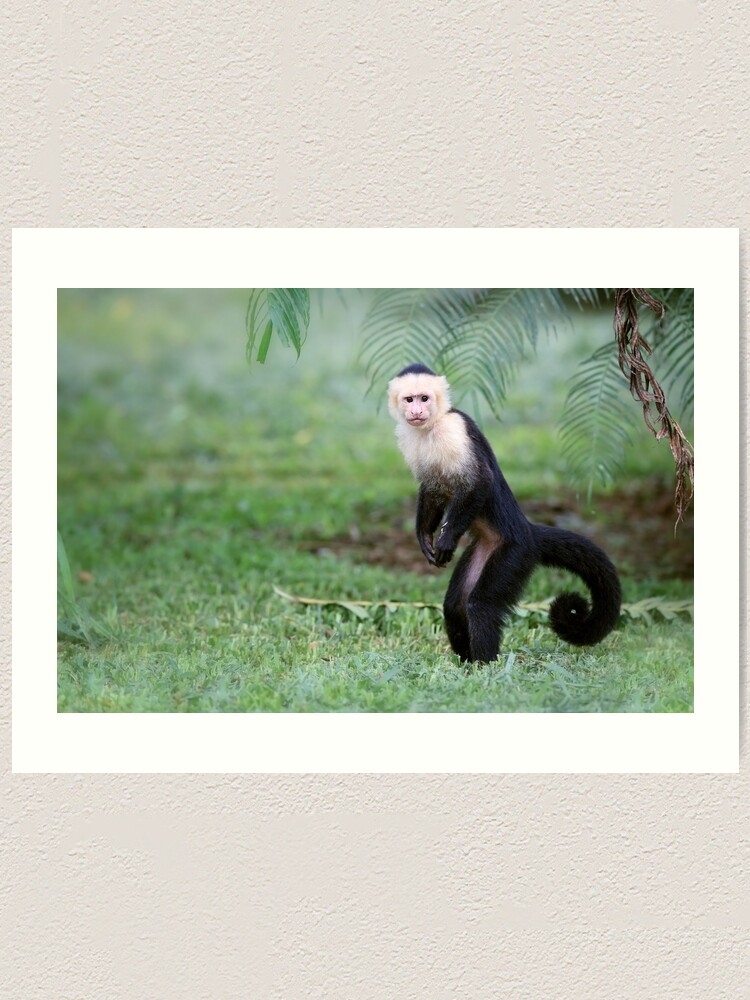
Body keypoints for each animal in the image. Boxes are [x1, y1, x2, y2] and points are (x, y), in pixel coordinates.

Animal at [387, 363, 622, 664]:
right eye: (409, 399)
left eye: (424, 398)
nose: (416, 410)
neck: (431, 427)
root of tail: (529, 530)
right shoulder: (407, 439)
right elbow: (433, 490)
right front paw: (425, 538)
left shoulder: (454, 430)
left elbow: (480, 482)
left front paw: (445, 540)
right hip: (484, 548)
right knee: (455, 604)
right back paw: (466, 662)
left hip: (515, 553)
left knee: (481, 604)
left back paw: (484, 666)